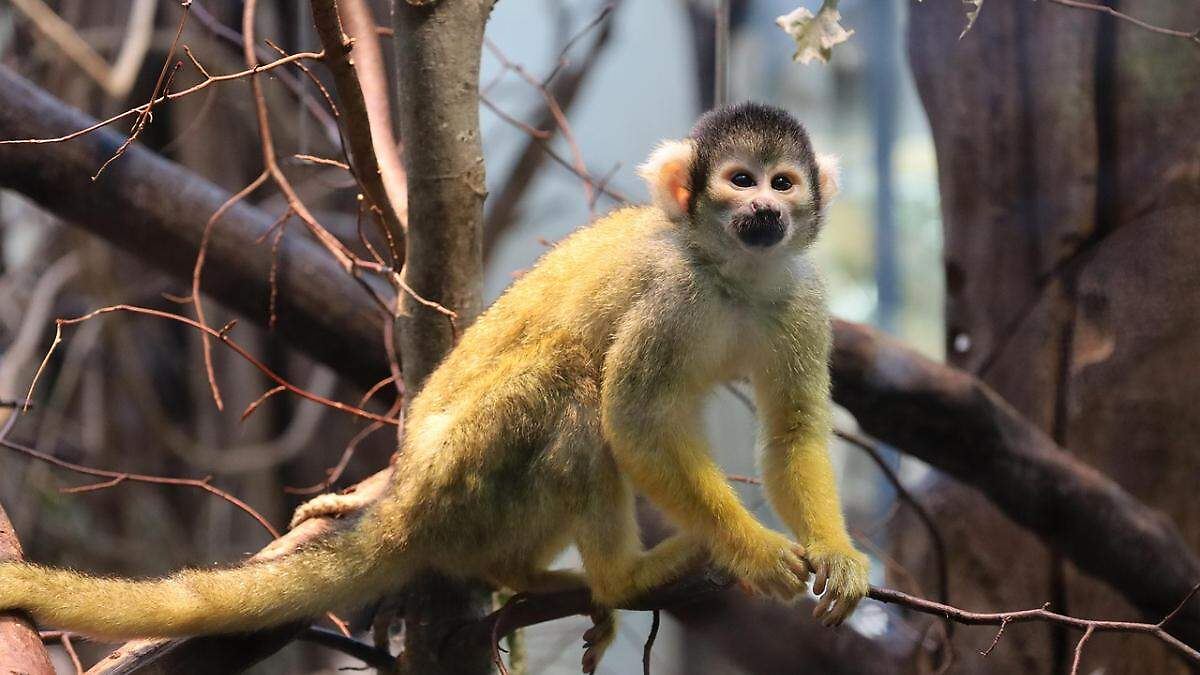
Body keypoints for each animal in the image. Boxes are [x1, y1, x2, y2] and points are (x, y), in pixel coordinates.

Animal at [0, 102, 869, 672]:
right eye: (739, 179)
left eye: (783, 182)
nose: (763, 209)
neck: (731, 274)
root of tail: (410, 495)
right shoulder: (670, 292)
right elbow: (634, 418)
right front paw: (754, 549)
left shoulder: (800, 295)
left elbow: (792, 427)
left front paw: (839, 554)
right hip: (469, 476)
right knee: (574, 381)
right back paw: (623, 576)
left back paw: (531, 577)